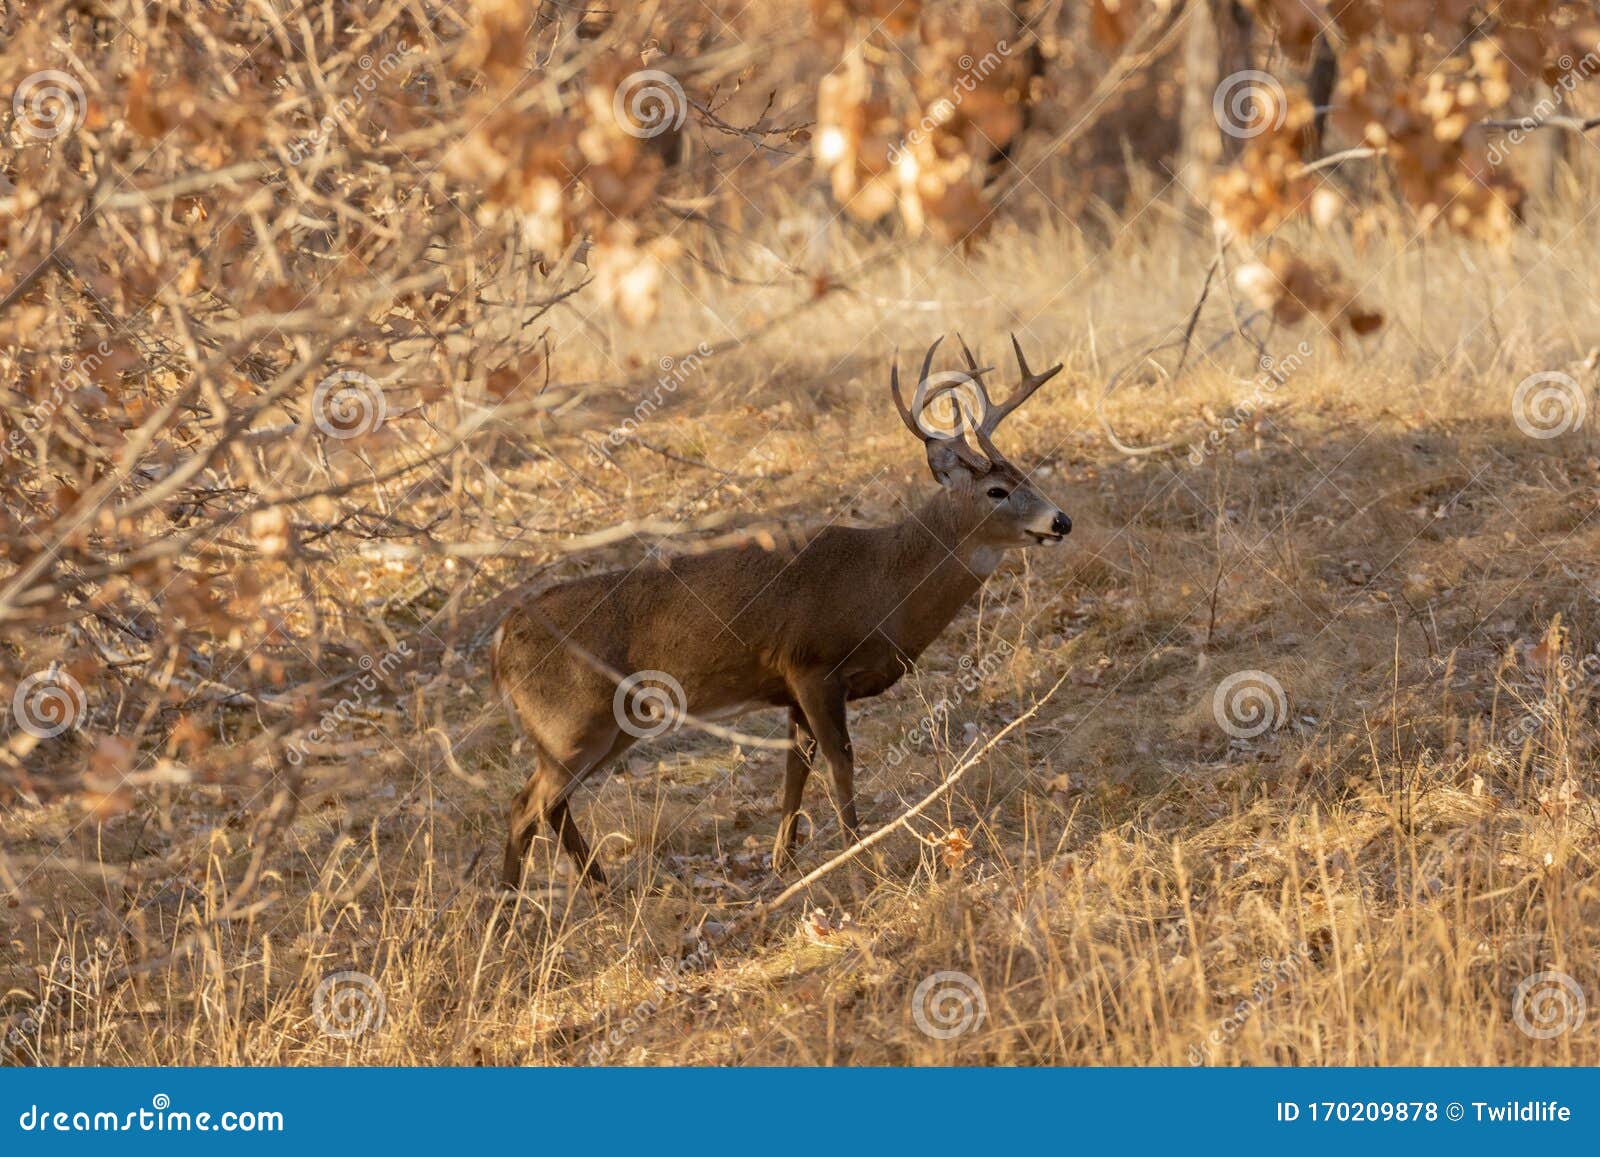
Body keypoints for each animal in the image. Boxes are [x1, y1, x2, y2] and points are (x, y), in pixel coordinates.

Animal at [491, 335, 1071, 890]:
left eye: (1029, 478)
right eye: (997, 490)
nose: (1061, 521)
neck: (886, 584)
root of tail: (502, 639)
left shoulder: (793, 686)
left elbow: (797, 766)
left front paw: (783, 860)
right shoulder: (813, 665)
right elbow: (840, 762)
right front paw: (859, 858)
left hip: (610, 724)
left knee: (549, 804)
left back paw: (595, 890)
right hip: (572, 721)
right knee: (525, 805)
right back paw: (514, 904)